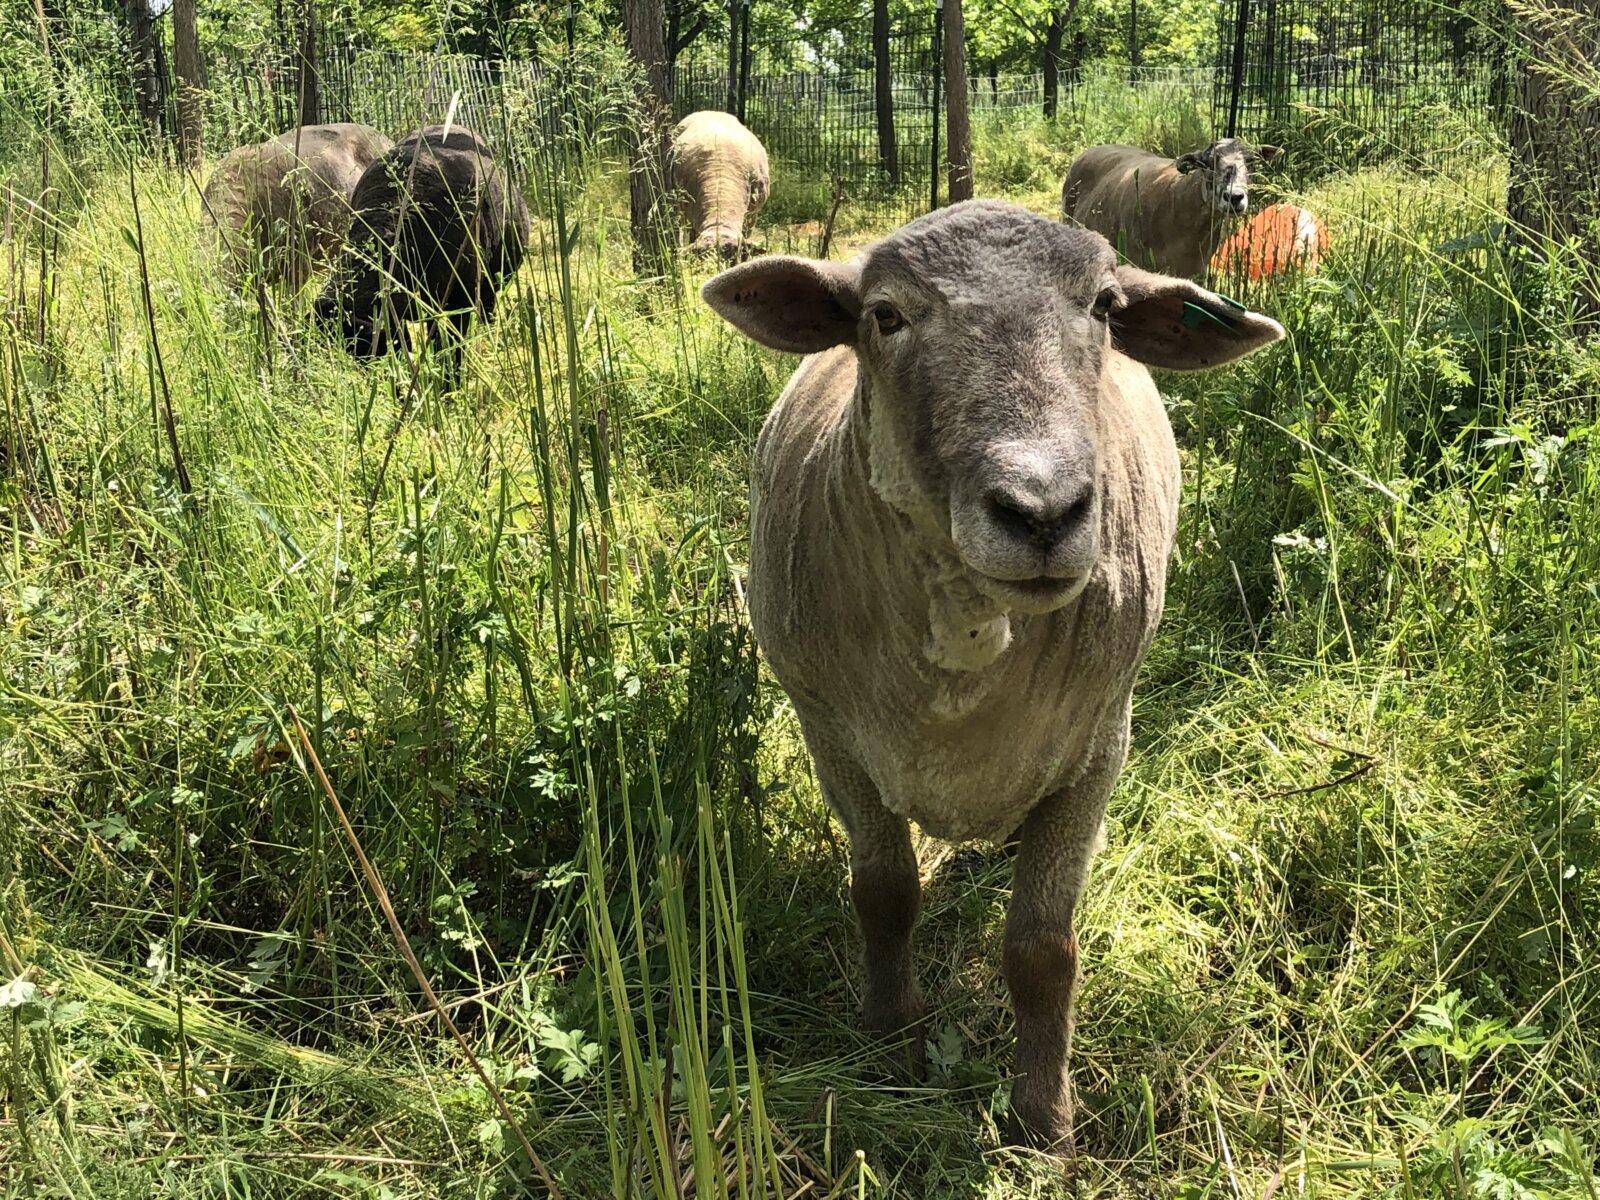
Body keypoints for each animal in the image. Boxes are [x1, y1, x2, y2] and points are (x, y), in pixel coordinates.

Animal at [701, 200, 1284, 1159]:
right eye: (885, 315)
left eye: (1105, 307)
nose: (1042, 512)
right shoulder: (830, 732)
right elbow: (884, 894)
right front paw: (890, 1039)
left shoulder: (1097, 745)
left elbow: (1042, 950)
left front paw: (1042, 1118)